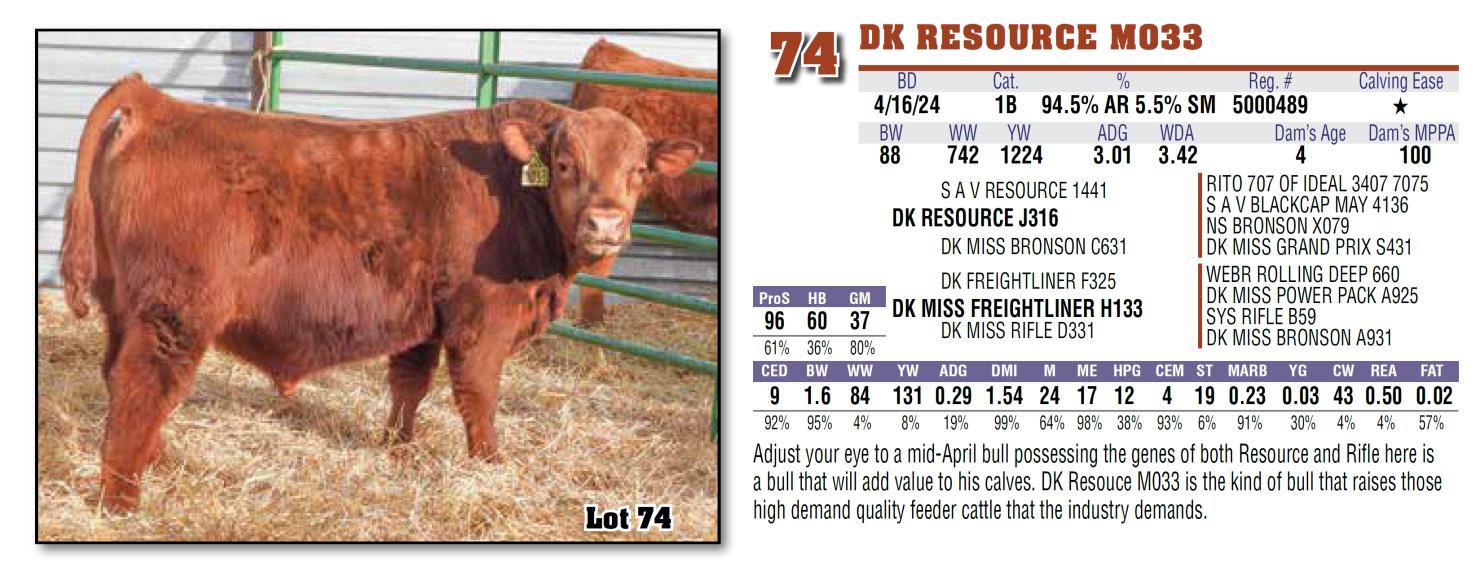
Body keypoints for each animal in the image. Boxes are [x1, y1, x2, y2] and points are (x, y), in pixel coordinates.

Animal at [59, 74, 700, 512]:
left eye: (640, 171)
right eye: (565, 164)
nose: (605, 224)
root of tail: (155, 101)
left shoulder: (425, 316)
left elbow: (410, 383)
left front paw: (399, 448)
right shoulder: (481, 320)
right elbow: (479, 394)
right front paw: (491, 465)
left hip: (126, 306)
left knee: (118, 376)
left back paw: (156, 460)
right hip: (175, 313)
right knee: (144, 384)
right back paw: (122, 499)